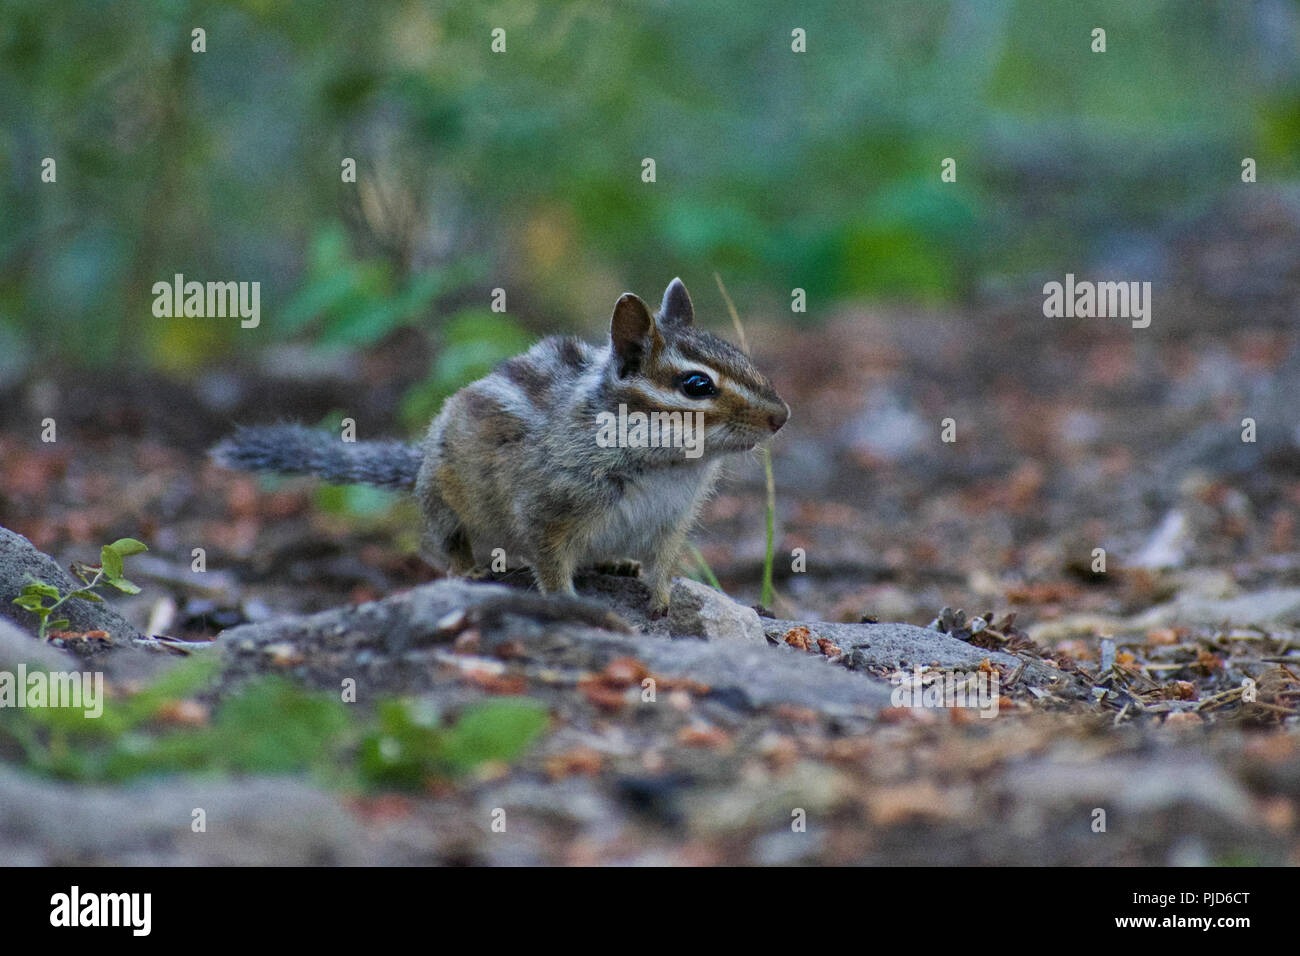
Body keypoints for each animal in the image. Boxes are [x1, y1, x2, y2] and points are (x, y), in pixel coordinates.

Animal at [212, 278, 789, 614]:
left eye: (743, 356)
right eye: (696, 385)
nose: (781, 417)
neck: (666, 466)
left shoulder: (673, 520)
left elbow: (664, 563)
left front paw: (661, 596)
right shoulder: (545, 508)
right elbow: (550, 561)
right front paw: (568, 602)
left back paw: (616, 563)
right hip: (443, 501)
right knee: (446, 543)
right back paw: (467, 569)